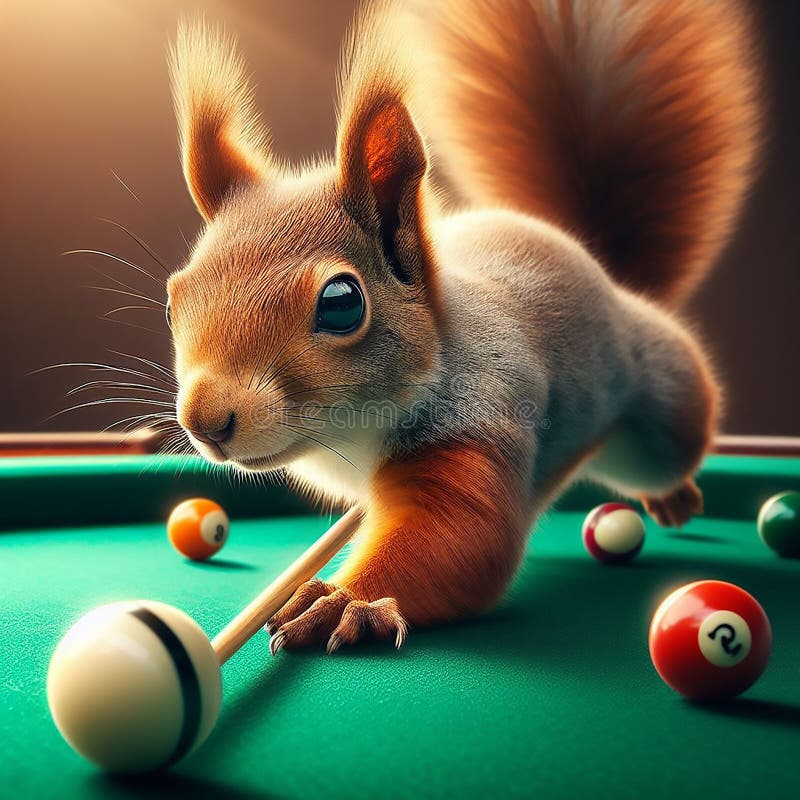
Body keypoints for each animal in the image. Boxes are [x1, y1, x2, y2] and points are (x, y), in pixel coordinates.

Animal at [165, 0, 760, 653]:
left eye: (342, 303)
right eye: (173, 299)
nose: (205, 422)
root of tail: (600, 268)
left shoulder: (481, 413)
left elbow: (459, 535)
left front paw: (343, 601)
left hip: (662, 415)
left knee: (674, 445)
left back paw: (676, 493)